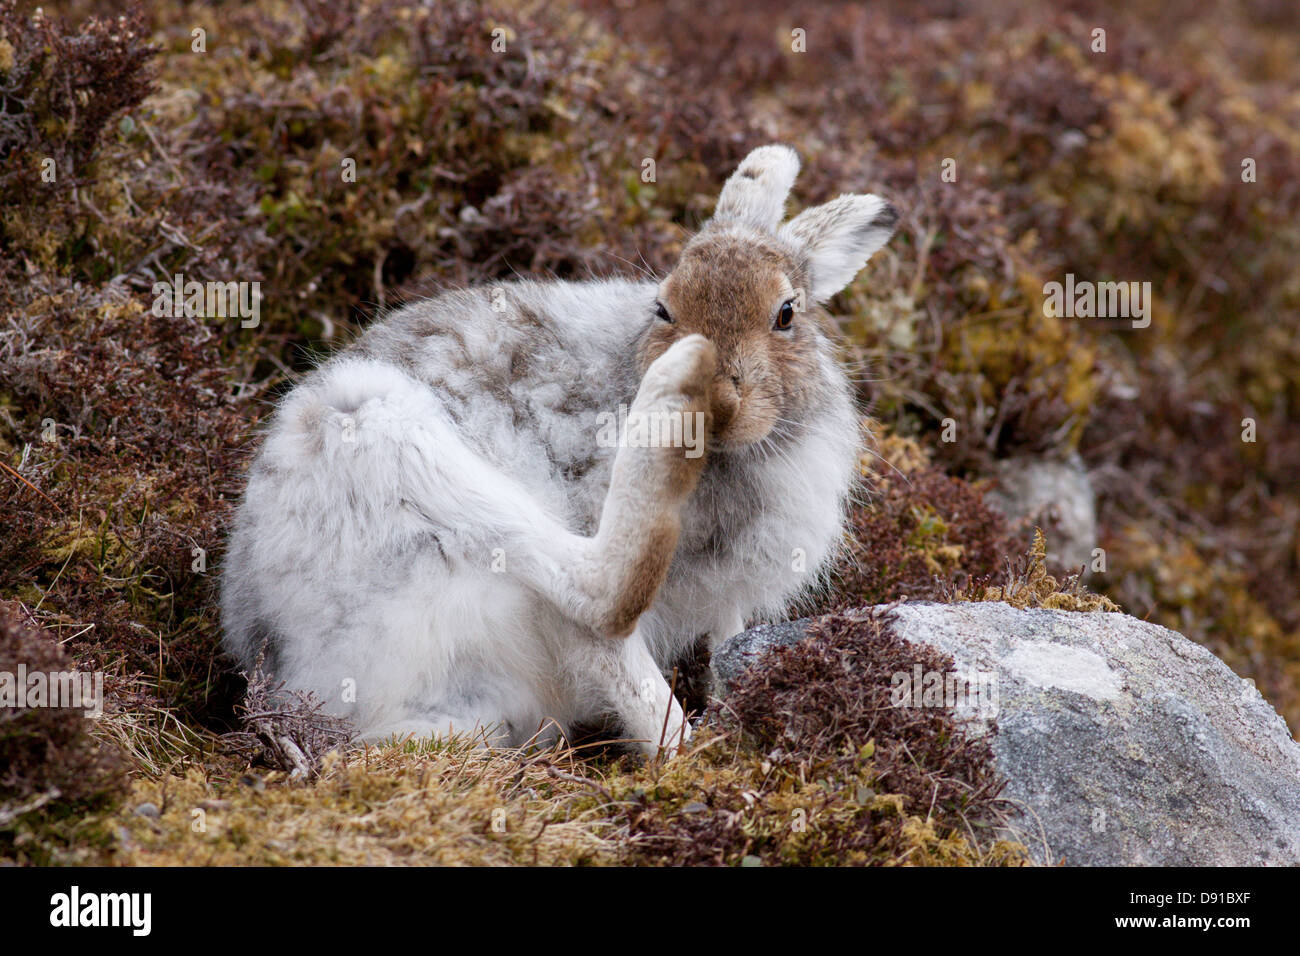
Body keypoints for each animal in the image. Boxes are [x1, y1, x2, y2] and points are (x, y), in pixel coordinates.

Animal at [221, 144, 899, 755]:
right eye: (663, 307)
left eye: (786, 314)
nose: (721, 403)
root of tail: (276, 672)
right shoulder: (588, 615)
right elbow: (627, 677)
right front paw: (698, 763)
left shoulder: (727, 606)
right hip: (372, 419)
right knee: (600, 591)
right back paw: (668, 402)